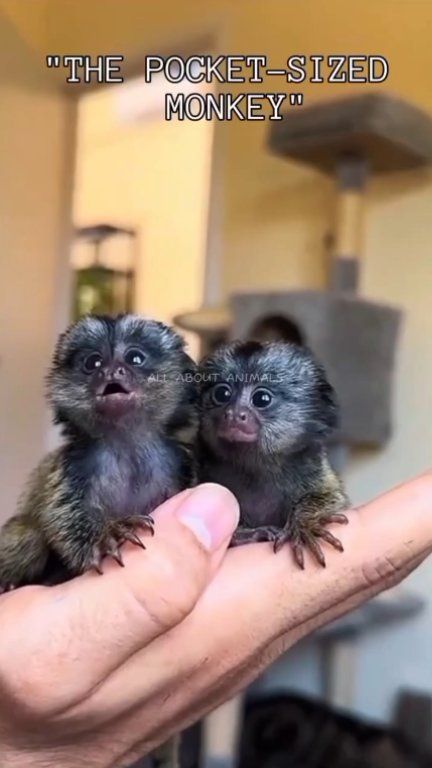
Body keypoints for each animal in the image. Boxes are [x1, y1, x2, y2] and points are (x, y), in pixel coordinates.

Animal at [197, 340, 349, 568]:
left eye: (261, 399)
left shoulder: (315, 470)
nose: (234, 414)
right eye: (222, 394)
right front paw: (247, 535)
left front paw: (304, 523)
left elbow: (333, 497)